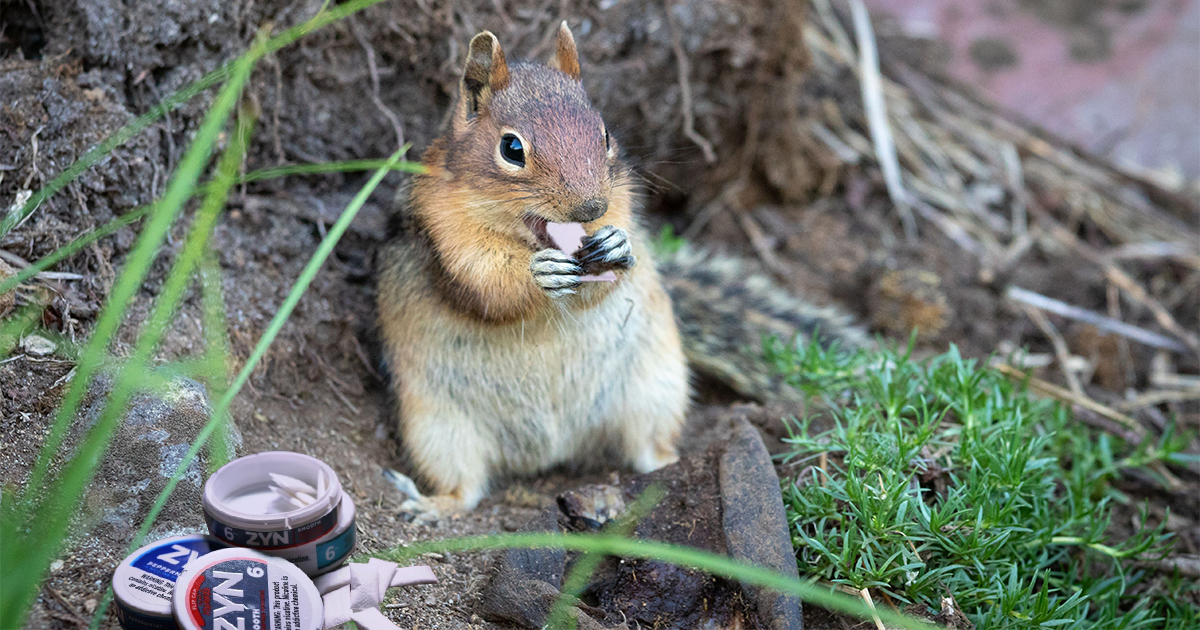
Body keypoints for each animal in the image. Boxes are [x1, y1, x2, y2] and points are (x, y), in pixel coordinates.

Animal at [375, 22, 865, 517]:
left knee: (650, 448)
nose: (592, 207)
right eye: (511, 148)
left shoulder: (622, 203)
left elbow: (610, 277)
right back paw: (432, 504)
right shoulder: (443, 236)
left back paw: (669, 467)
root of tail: (551, 453)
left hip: (655, 389)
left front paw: (616, 244)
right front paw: (538, 274)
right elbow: (485, 285)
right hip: (439, 429)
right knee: (466, 487)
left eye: (606, 134)